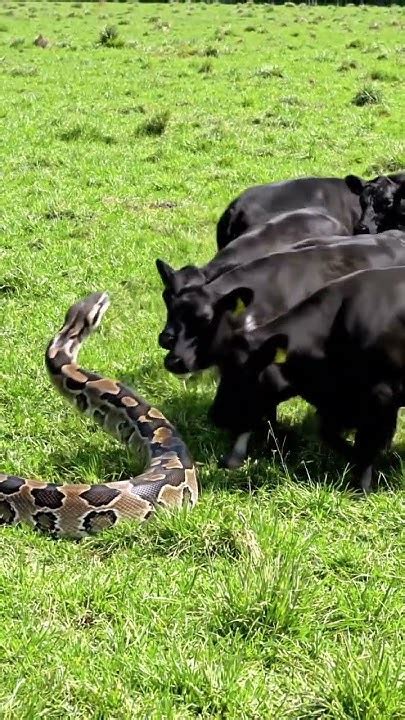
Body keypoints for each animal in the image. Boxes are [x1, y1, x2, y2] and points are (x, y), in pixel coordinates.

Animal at [210, 265, 405, 493]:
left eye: (241, 373)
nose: (214, 415)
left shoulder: (380, 397)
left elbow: (367, 447)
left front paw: (363, 488)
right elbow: (329, 434)